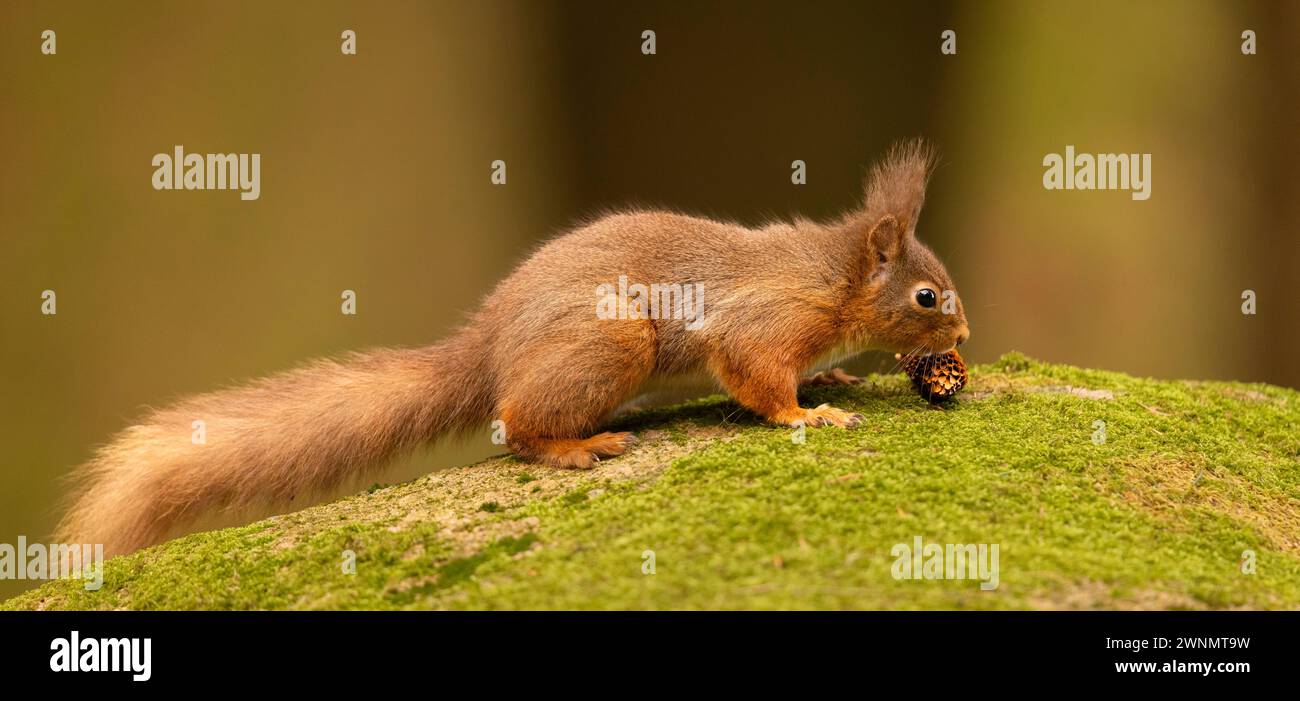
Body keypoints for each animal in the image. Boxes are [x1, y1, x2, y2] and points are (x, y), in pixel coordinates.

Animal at [57, 139, 969, 557]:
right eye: (927, 297)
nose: (964, 336)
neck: (833, 275)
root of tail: (490, 347)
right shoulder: (768, 319)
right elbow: (758, 376)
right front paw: (808, 416)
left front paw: (837, 381)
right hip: (612, 343)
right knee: (513, 421)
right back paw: (574, 447)